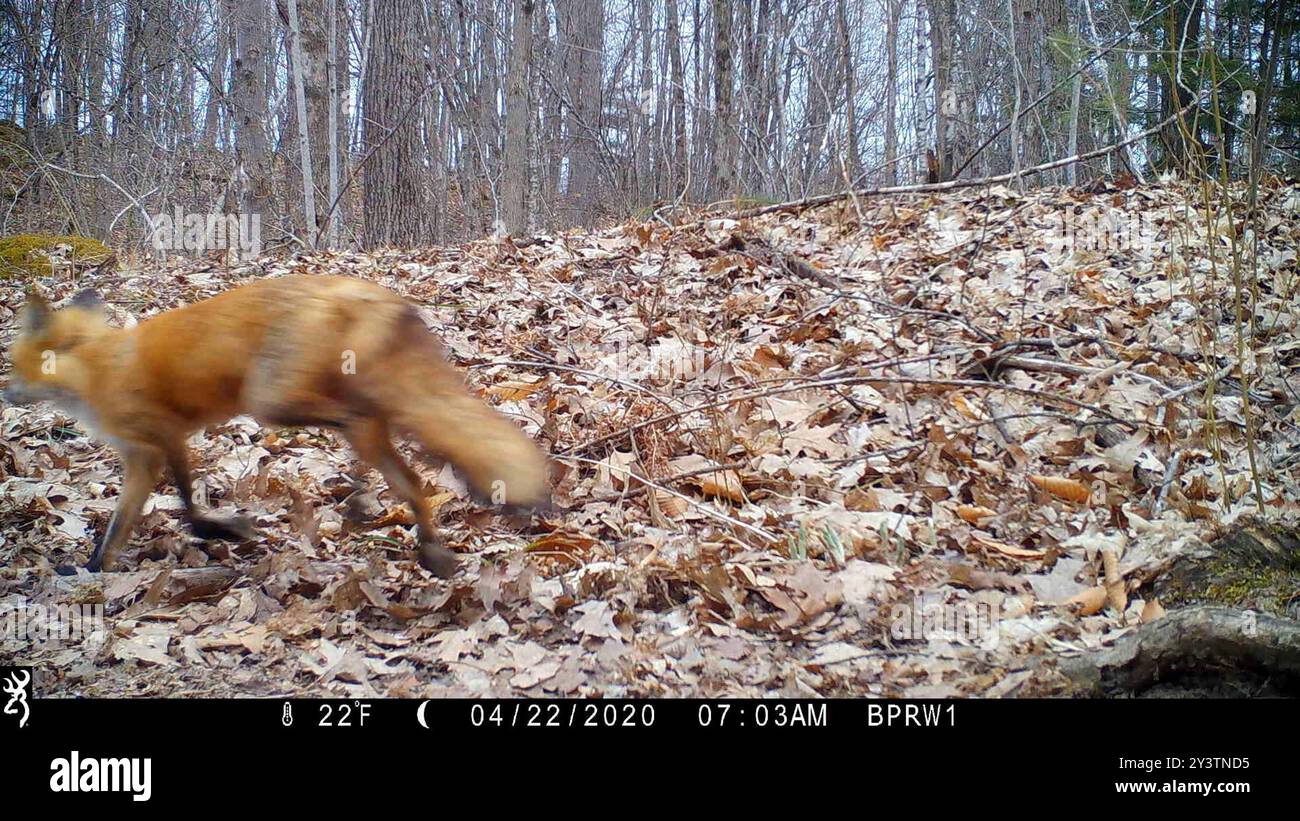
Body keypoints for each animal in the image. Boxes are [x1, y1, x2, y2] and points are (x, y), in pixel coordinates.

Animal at [2, 275, 551, 577]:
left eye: (13, 365)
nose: (5, 393)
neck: (99, 366)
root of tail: (360, 289)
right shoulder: (164, 443)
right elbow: (173, 507)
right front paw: (217, 529)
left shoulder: (150, 448)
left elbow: (134, 523)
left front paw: (91, 572)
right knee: (410, 475)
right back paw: (425, 546)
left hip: (271, 403)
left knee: (361, 422)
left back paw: (361, 497)